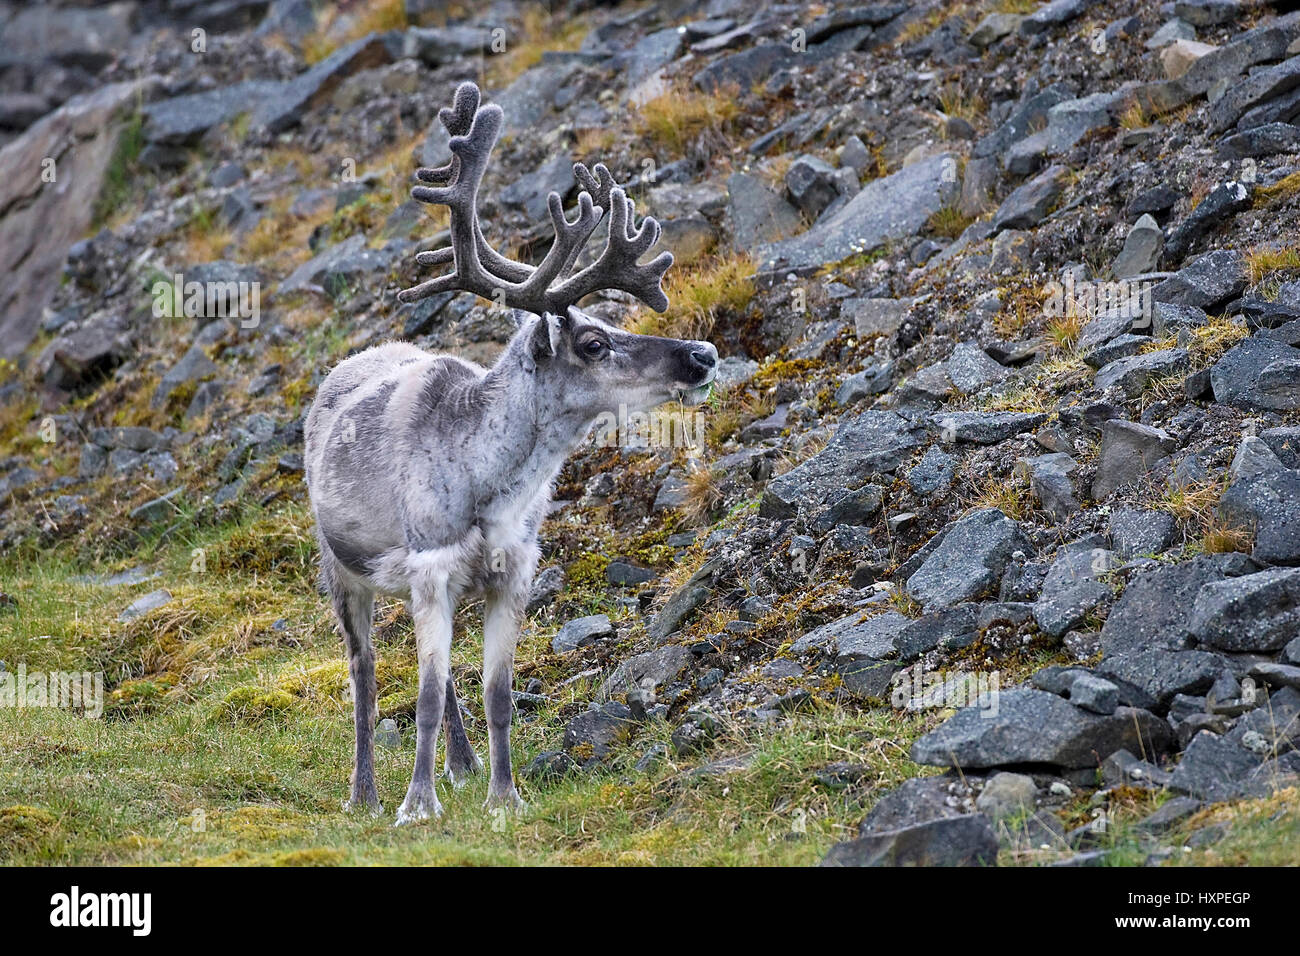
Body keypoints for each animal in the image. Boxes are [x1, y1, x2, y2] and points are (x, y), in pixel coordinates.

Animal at [303, 82, 718, 824]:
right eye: (592, 342)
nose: (702, 353)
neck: (493, 486)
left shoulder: (512, 571)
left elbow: (495, 694)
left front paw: (505, 796)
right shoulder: (431, 565)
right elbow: (423, 696)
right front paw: (417, 806)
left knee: (432, 674)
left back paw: (462, 766)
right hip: (341, 569)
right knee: (367, 675)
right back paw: (365, 794)